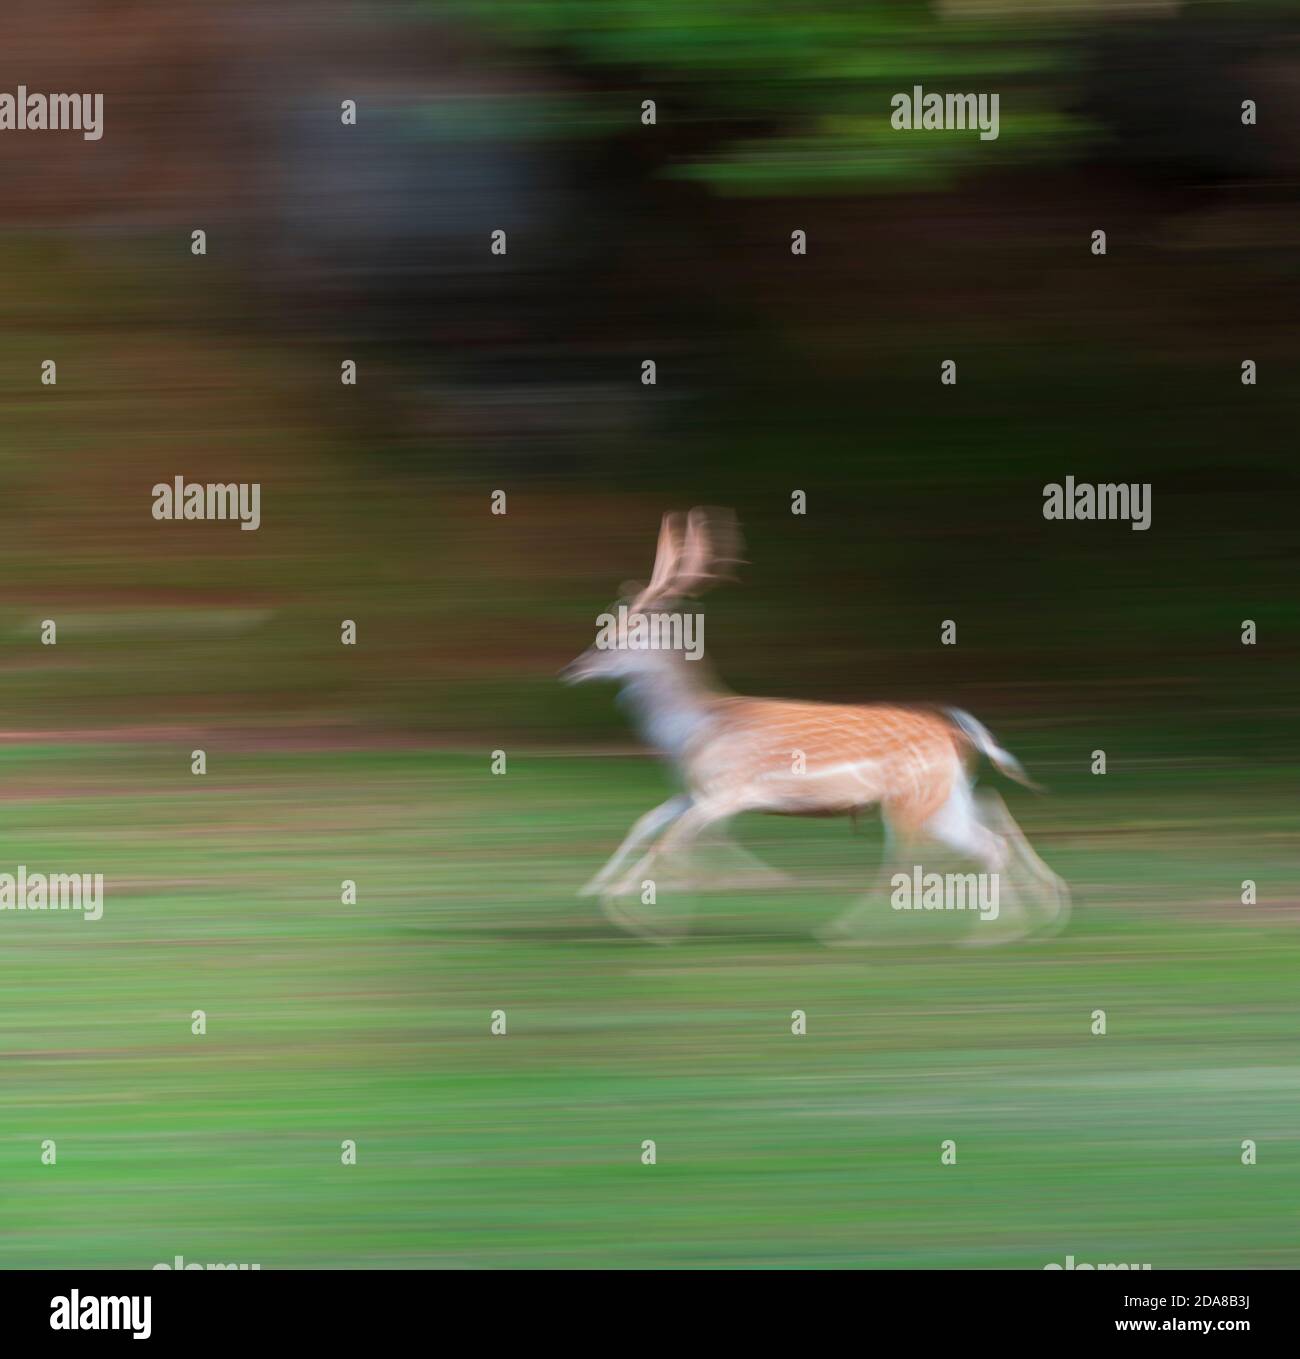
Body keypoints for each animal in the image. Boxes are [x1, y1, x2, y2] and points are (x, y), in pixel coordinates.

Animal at [562, 508, 1069, 943]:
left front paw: (644, 917)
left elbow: (670, 843)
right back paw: (1024, 919)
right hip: (943, 796)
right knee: (989, 830)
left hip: (913, 798)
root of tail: (955, 732)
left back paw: (857, 929)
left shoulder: (729, 791)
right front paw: (598, 892)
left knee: (919, 853)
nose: (570, 670)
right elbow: (645, 823)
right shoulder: (696, 790)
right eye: (605, 629)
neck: (693, 729)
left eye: (622, 635)